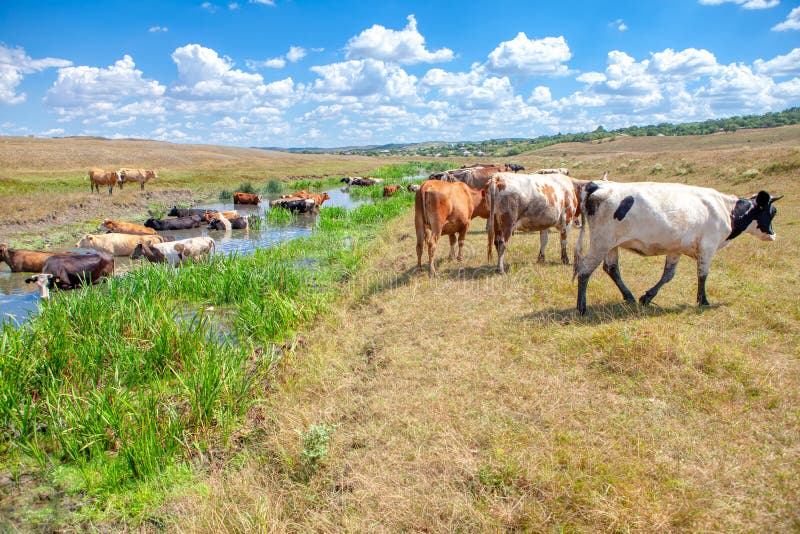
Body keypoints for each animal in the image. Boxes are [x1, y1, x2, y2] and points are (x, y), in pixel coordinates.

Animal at [573, 182, 782, 315]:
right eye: (773, 211)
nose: (773, 235)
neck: (725, 209)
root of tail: (599, 185)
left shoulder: (675, 250)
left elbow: (668, 275)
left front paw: (647, 297)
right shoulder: (708, 247)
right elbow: (702, 275)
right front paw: (703, 301)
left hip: (611, 245)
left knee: (611, 269)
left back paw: (629, 296)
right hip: (600, 243)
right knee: (584, 272)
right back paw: (582, 308)